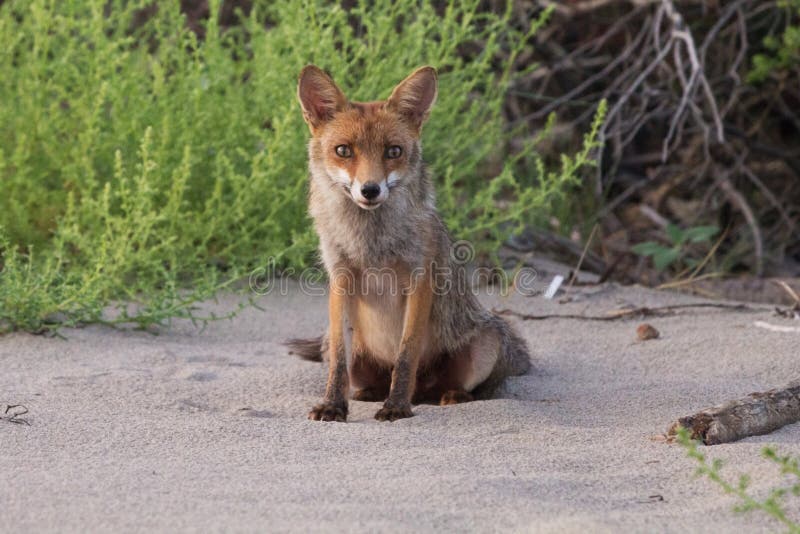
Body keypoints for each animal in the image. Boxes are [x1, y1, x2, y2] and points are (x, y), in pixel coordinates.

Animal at [288, 64, 530, 422]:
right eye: (344, 150)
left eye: (393, 151)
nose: (370, 190)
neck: (371, 243)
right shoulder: (341, 278)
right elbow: (339, 363)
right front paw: (333, 405)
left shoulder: (418, 280)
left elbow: (406, 355)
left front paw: (397, 406)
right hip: (341, 348)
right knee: (359, 371)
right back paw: (370, 393)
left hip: (486, 343)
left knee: (464, 388)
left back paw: (447, 396)